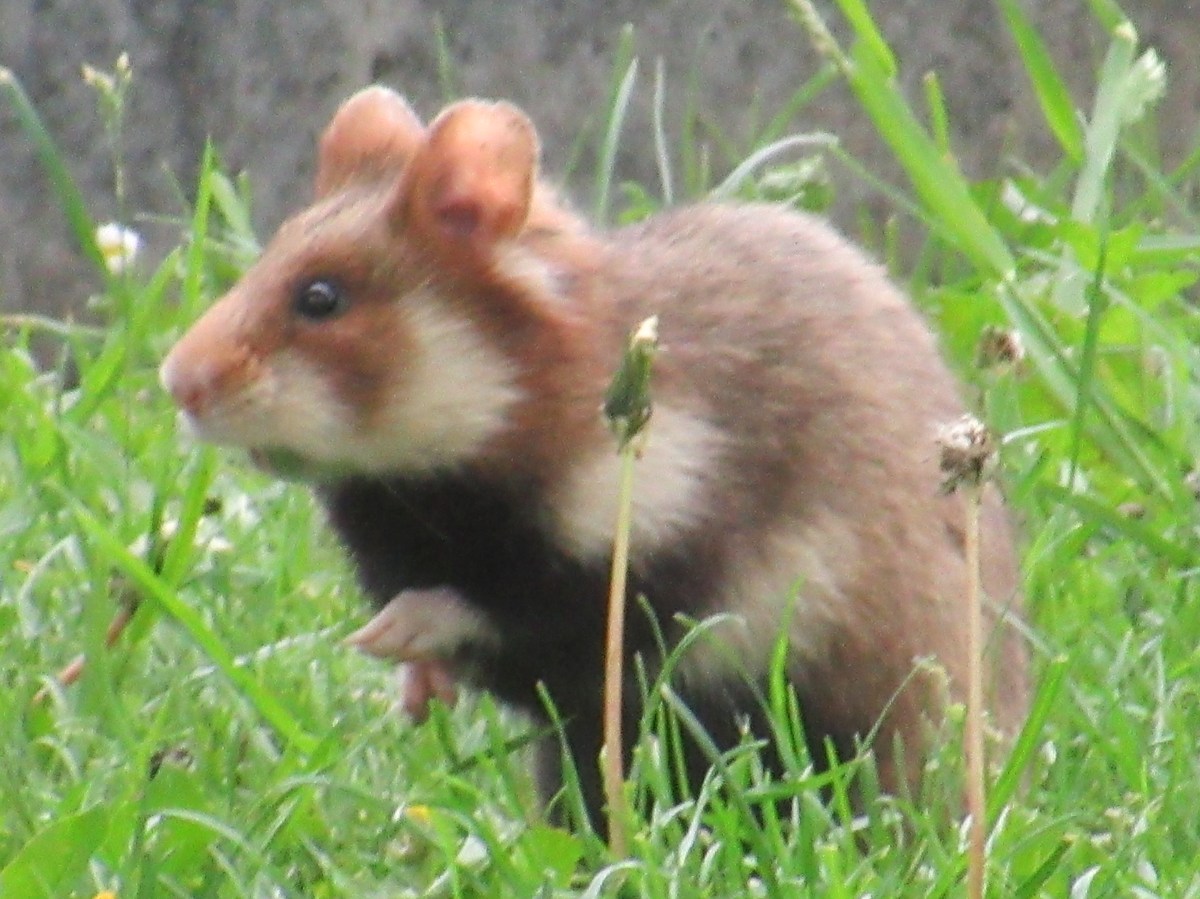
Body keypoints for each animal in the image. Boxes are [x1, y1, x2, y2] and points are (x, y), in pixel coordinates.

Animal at [160, 85, 1028, 824]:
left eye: (320, 297)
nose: (177, 384)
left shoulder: (658, 566)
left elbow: (492, 608)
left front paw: (388, 634)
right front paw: (410, 691)